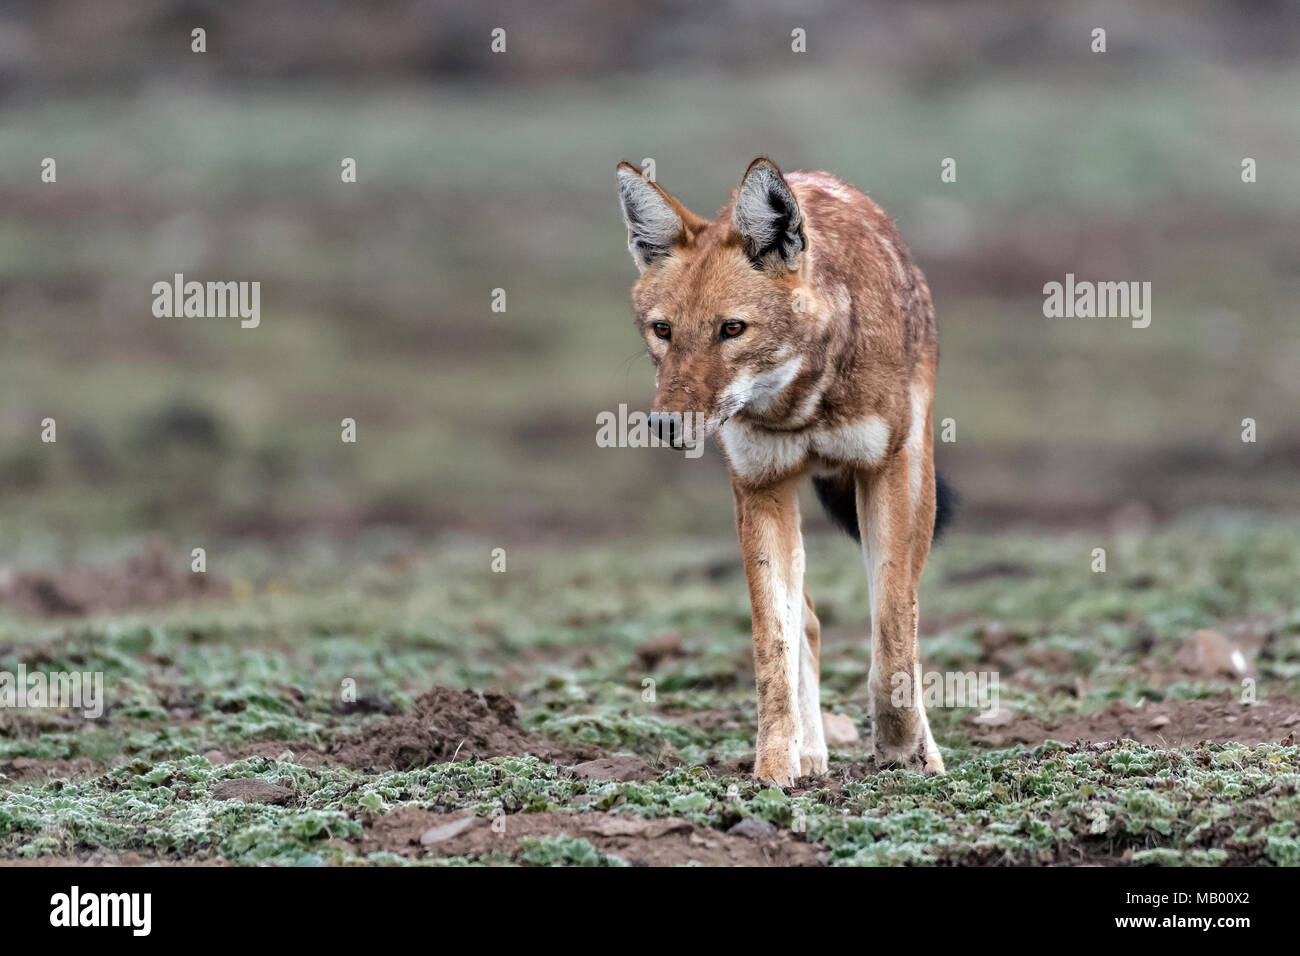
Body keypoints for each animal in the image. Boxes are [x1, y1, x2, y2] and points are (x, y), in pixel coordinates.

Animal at [615, 157, 954, 786]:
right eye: (663, 330)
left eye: (732, 329)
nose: (666, 425)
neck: (802, 404)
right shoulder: (759, 488)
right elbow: (771, 646)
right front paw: (775, 766)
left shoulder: (885, 472)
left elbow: (893, 635)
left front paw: (902, 751)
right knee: (809, 621)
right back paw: (812, 753)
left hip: (920, 485)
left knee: (904, 612)